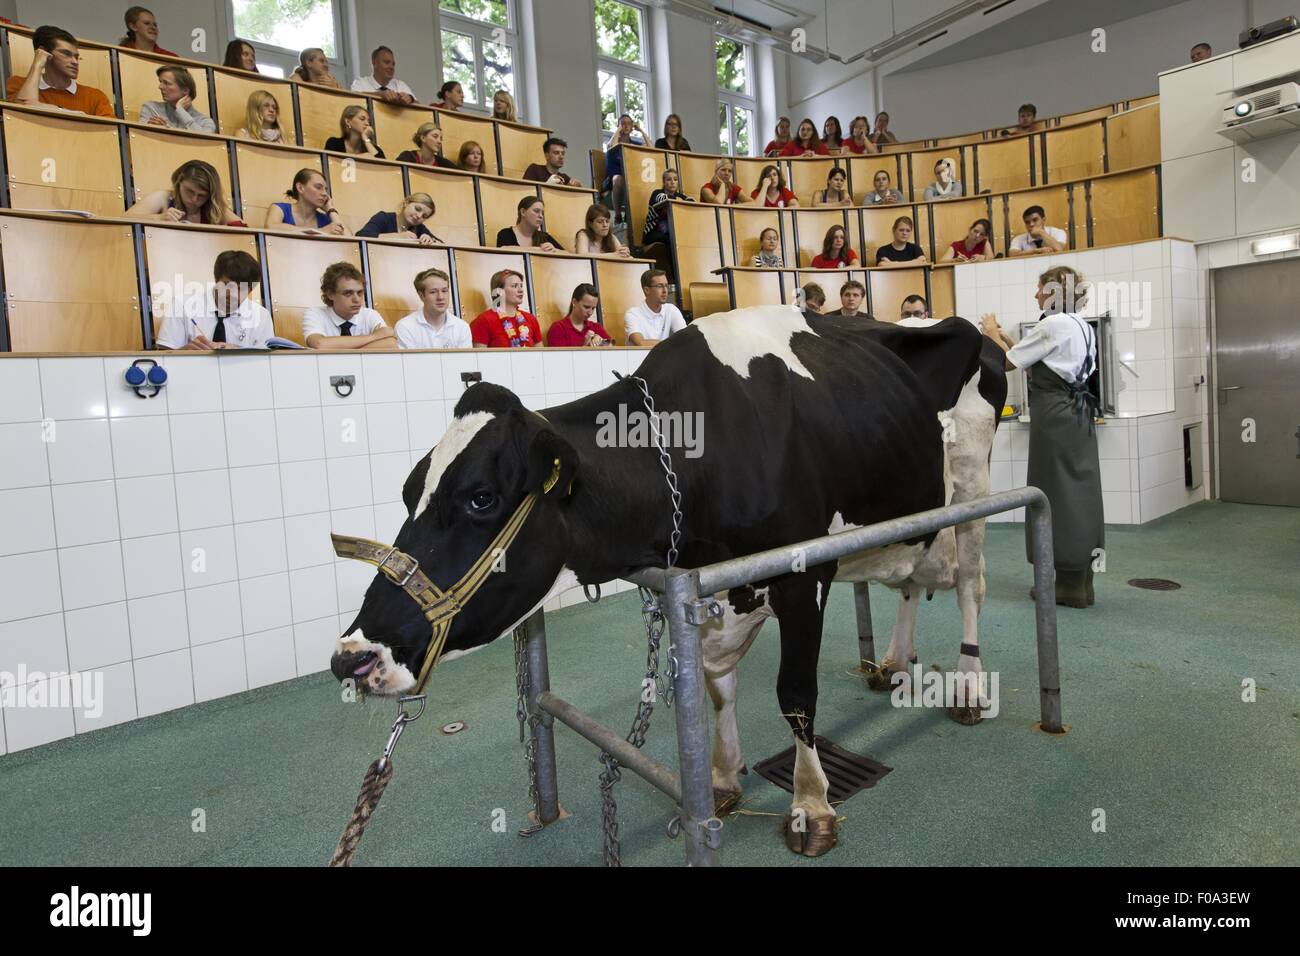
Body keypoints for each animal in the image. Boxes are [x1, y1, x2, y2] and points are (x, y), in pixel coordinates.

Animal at [329, 306, 996, 858]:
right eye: (409, 491)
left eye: (481, 498)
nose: (352, 658)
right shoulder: (706, 584)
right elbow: (716, 685)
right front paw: (721, 777)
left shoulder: (802, 573)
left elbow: (795, 695)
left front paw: (811, 807)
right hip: (910, 518)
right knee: (909, 581)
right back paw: (894, 662)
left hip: (971, 489)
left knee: (970, 582)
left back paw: (966, 687)